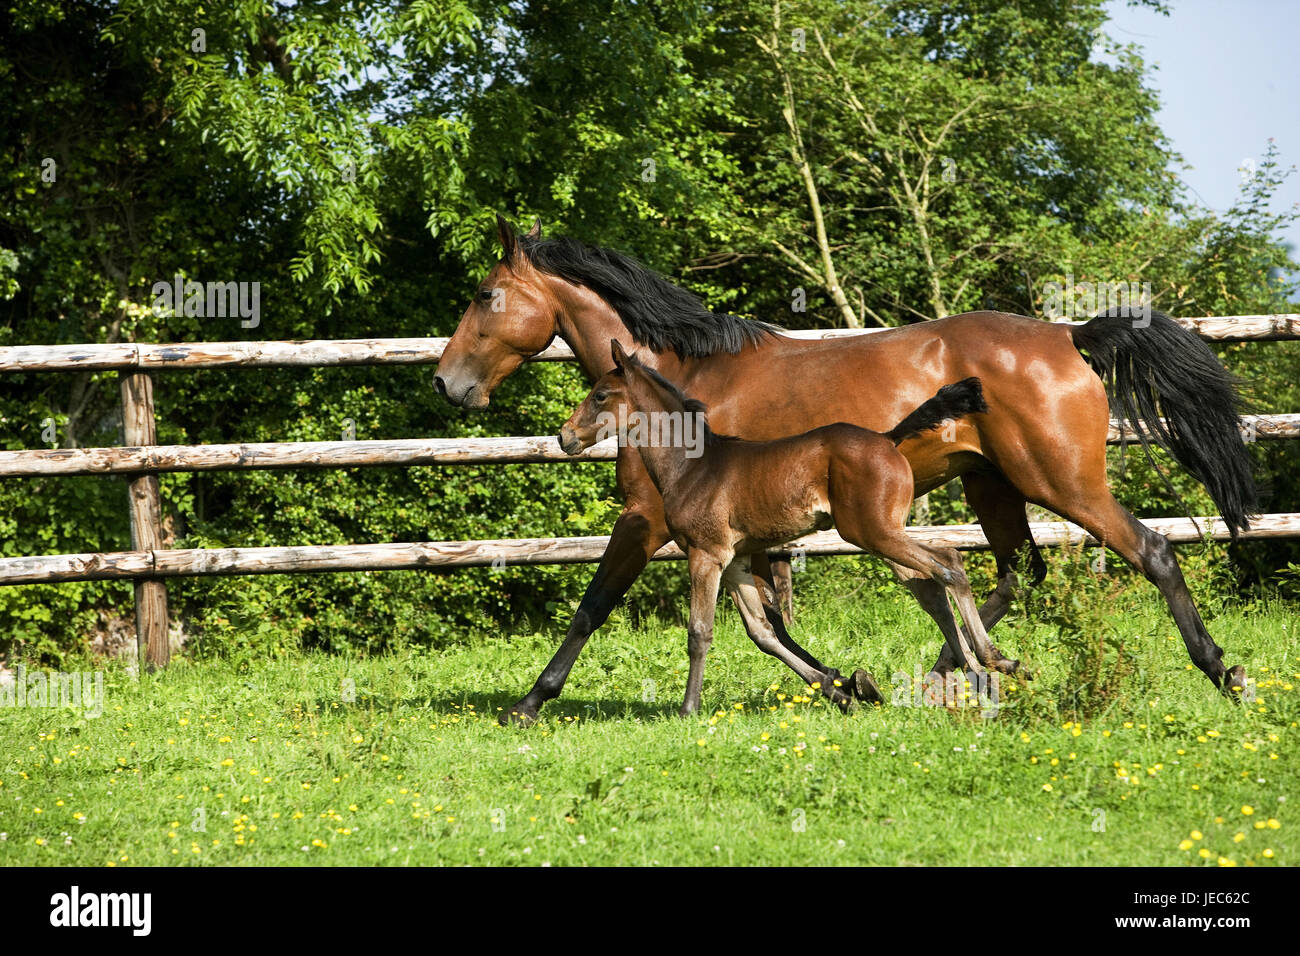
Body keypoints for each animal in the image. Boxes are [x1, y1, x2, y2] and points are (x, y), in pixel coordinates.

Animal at [559, 340, 1013, 715]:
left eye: (600, 395)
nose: (565, 436)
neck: (692, 465)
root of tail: (888, 438)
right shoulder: (736, 560)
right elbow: (762, 633)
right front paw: (837, 691)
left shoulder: (706, 554)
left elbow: (699, 632)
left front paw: (688, 709)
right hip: (884, 532)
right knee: (936, 577)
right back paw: (986, 666)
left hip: (872, 532)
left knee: (948, 564)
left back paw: (987, 664)